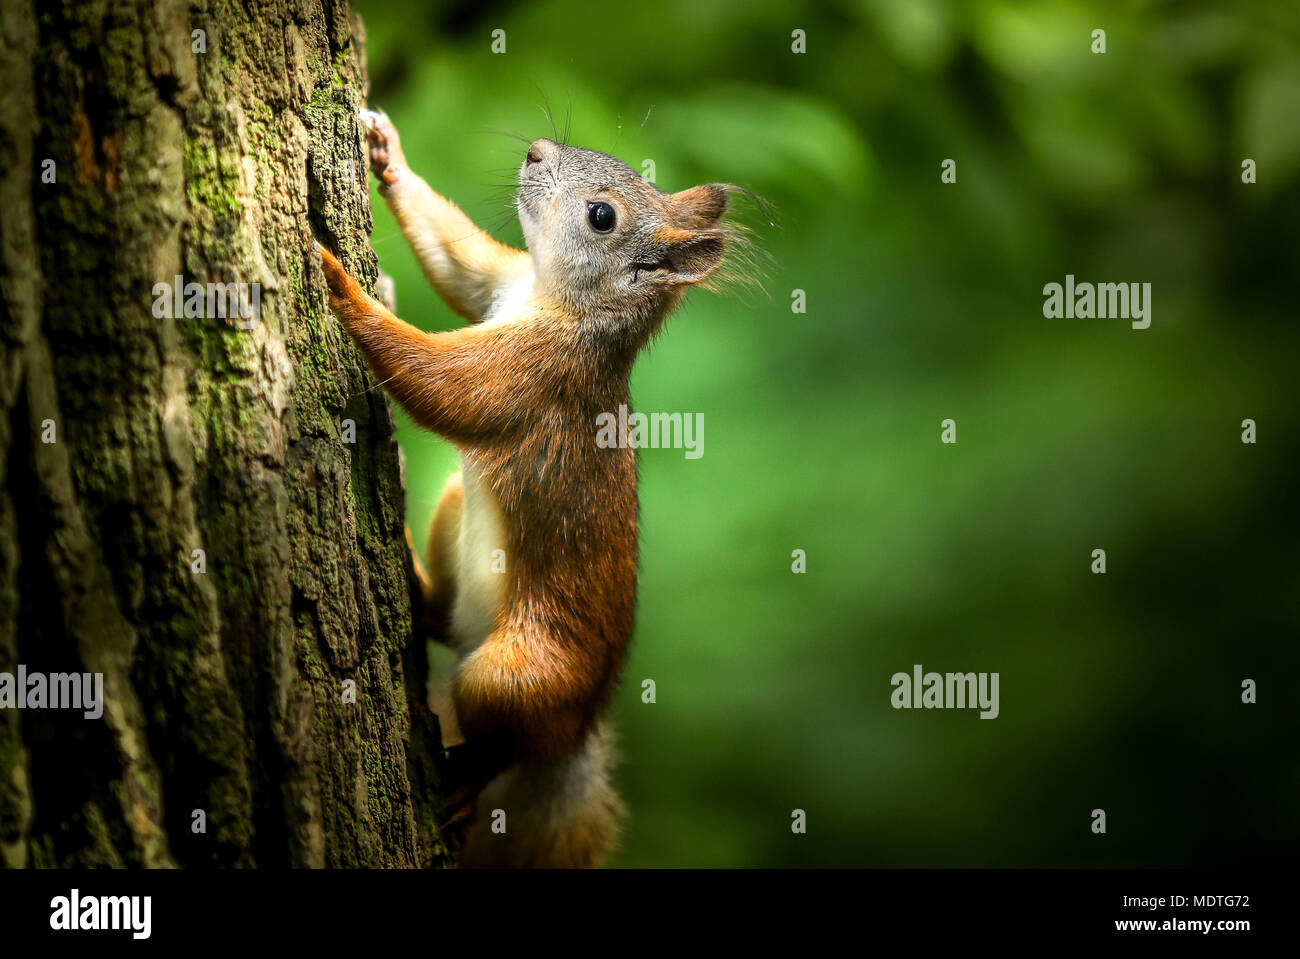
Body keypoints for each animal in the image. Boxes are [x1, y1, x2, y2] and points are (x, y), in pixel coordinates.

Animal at [315, 109, 742, 867]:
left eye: (602, 216)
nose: (537, 150)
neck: (553, 299)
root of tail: (576, 734)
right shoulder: (501, 284)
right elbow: (462, 265)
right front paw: (387, 154)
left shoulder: (537, 374)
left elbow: (438, 383)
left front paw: (343, 287)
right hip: (455, 516)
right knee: (443, 618)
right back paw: (417, 586)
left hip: (518, 676)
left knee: (506, 740)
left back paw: (467, 780)